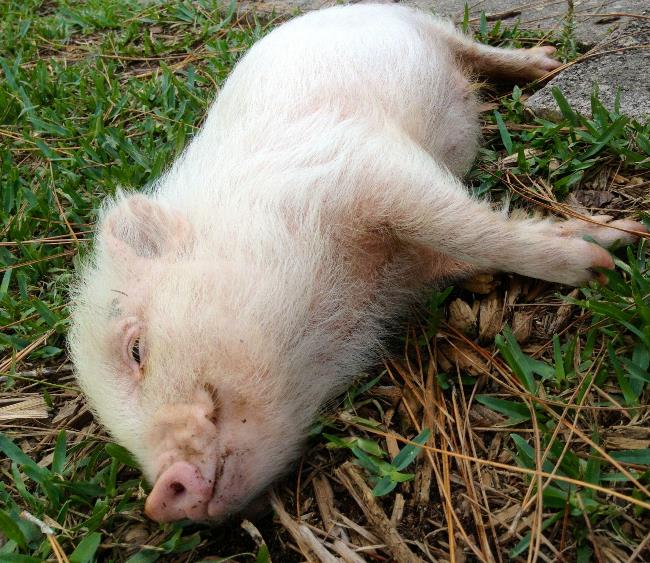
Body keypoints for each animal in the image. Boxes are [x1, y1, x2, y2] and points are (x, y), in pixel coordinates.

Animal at [68, 4, 646, 523]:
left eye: (136, 349)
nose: (159, 501)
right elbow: (467, 244)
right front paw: (610, 246)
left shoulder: (365, 163)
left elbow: (468, 225)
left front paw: (612, 249)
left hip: (423, 22)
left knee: (474, 49)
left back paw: (546, 64)